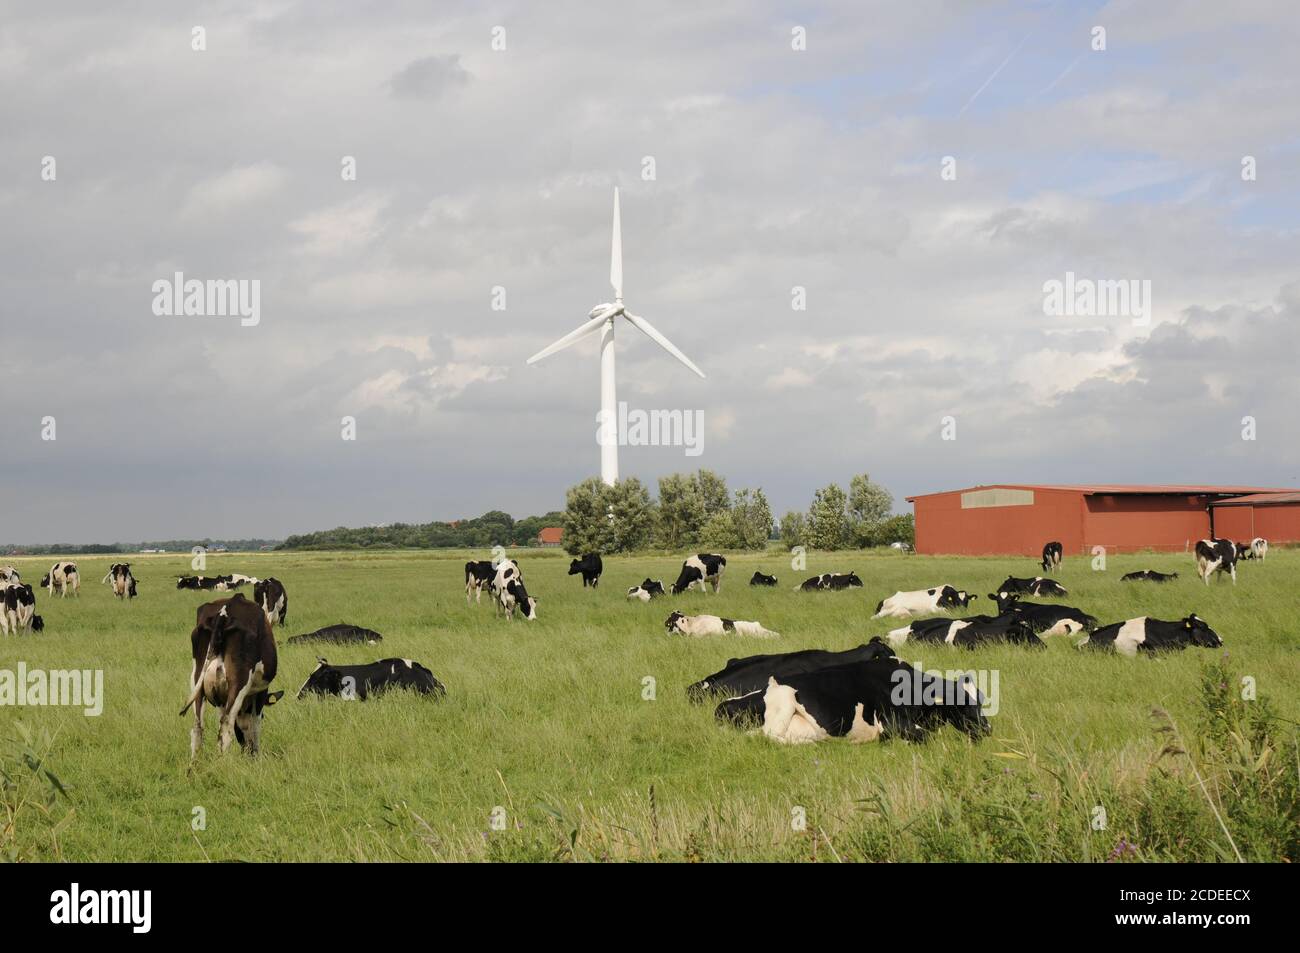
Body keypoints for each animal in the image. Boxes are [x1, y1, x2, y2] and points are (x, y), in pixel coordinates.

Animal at [178, 593, 282, 757]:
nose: (246, 749)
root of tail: (223, 612)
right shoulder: (261, 691)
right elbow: (255, 725)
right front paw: (256, 755)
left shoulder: (220, 698)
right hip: (238, 683)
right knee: (226, 727)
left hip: (197, 682)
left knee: (197, 728)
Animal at [714, 659, 989, 744]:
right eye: (964, 703)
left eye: (981, 700)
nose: (988, 729)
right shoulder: (892, 722)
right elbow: (927, 737)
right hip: (782, 701)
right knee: (768, 737)